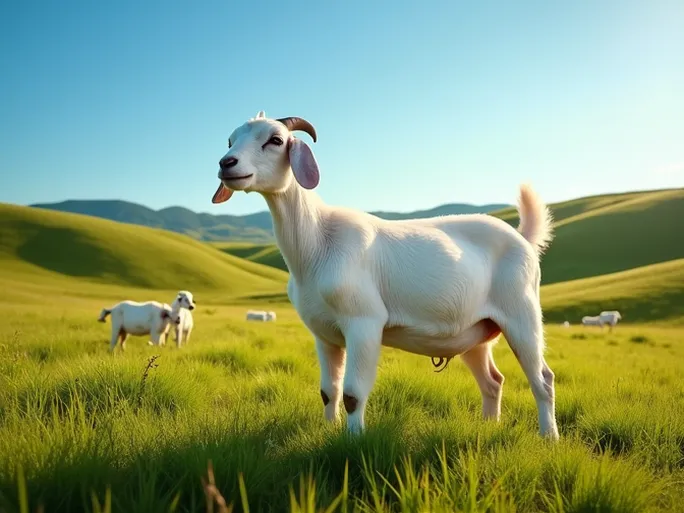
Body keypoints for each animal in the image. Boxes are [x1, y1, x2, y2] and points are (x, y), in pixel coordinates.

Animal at [210, 111, 559, 440]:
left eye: (276, 140)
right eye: (230, 141)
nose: (227, 164)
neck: (316, 244)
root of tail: (524, 239)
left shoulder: (364, 322)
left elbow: (352, 394)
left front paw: (353, 442)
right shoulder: (323, 333)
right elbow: (328, 392)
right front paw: (329, 431)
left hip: (521, 312)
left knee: (543, 379)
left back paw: (549, 437)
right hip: (476, 331)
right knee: (493, 381)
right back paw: (488, 427)